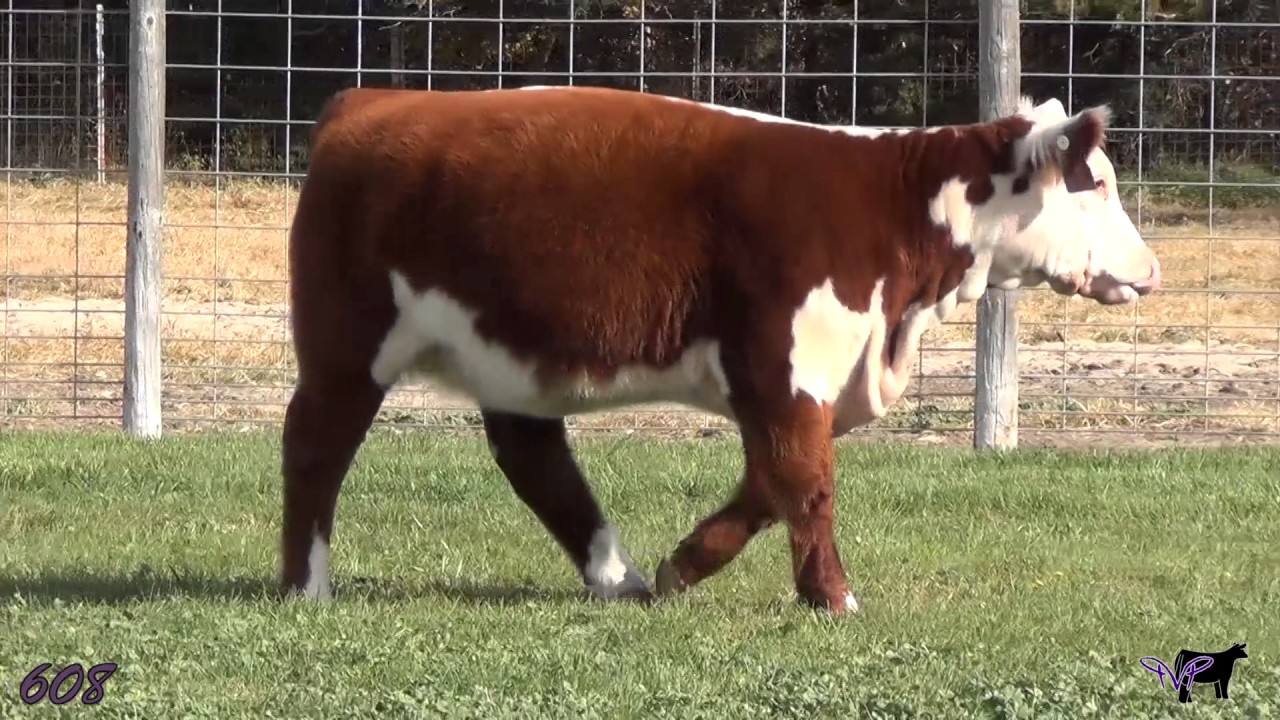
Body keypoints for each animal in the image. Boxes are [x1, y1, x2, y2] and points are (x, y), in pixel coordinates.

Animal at [279, 85, 1160, 613]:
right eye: (1097, 183)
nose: (1150, 270)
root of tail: (374, 101)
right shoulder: (785, 365)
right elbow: (806, 482)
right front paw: (832, 598)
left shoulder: (791, 383)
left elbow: (772, 480)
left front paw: (684, 566)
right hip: (345, 348)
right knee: (316, 448)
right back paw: (306, 585)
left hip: (509, 352)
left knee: (532, 456)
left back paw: (618, 577)